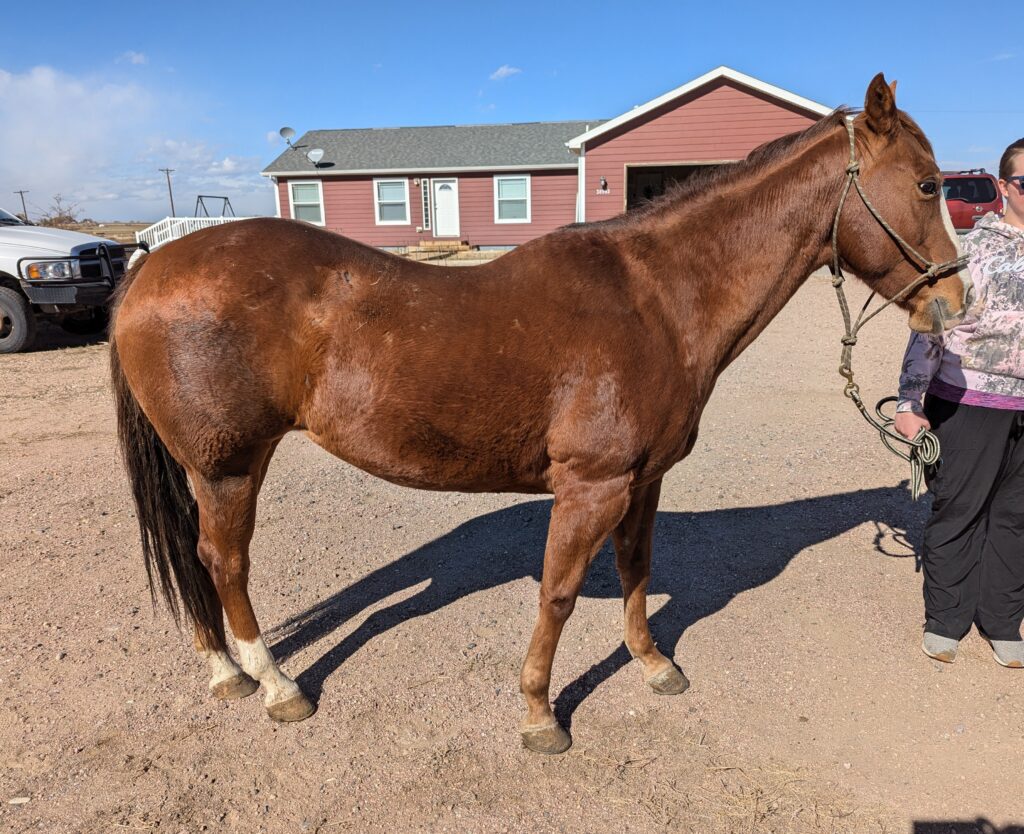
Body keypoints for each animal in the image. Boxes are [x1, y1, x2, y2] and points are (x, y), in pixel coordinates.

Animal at [110, 74, 970, 754]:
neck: (657, 299)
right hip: (228, 465)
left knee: (199, 559)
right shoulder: (590, 486)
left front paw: (653, 665)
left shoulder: (641, 481)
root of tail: (152, 266)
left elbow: (636, 569)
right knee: (223, 561)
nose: (957, 303)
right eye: (929, 185)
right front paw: (538, 714)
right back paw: (275, 683)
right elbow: (557, 594)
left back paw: (224, 672)